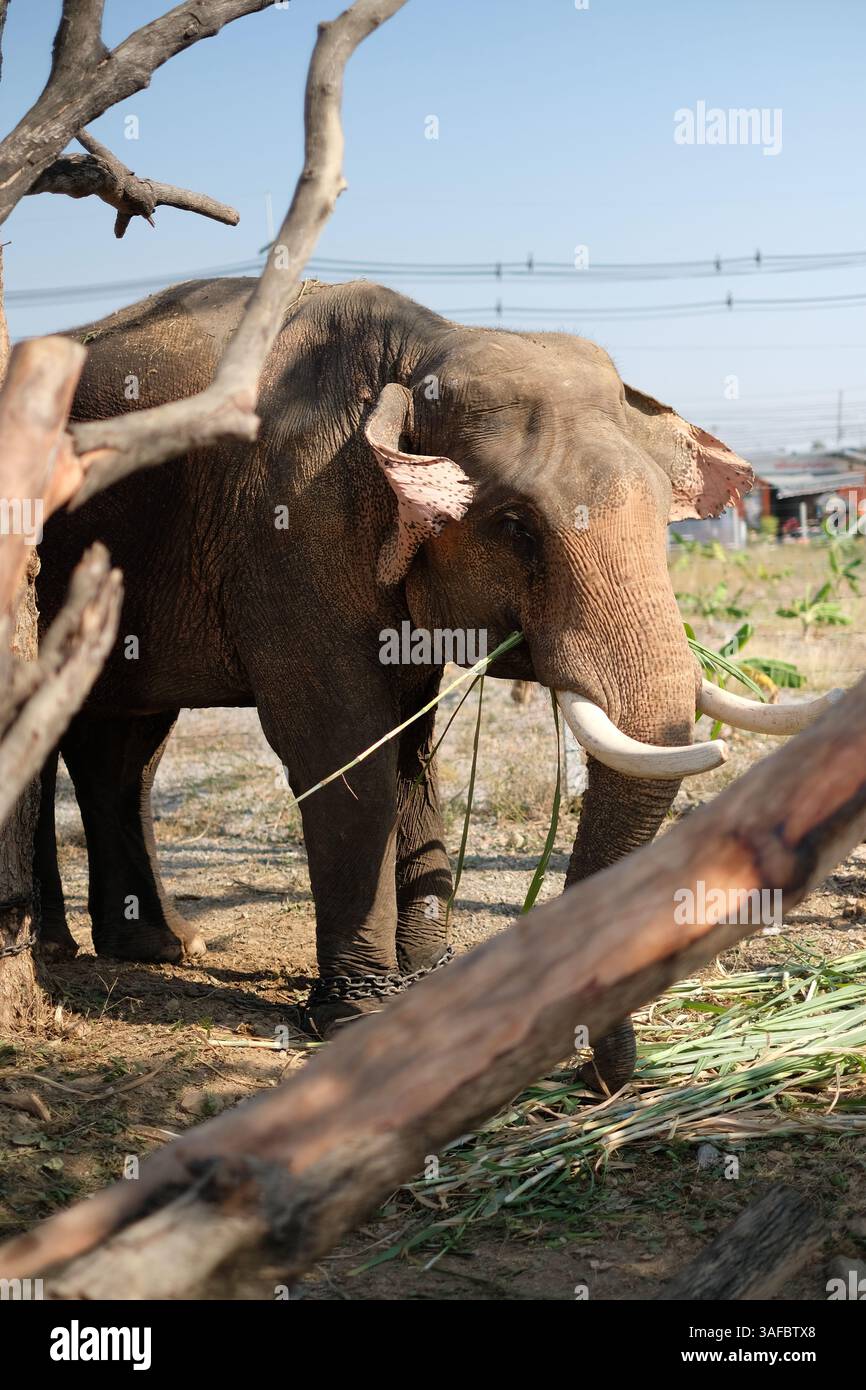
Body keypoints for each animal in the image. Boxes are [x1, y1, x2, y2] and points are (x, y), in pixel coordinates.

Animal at [34, 274, 761, 1089]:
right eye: (517, 526)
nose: (599, 1078)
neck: (420, 351)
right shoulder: (287, 526)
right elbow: (344, 752)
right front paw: (355, 1012)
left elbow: (410, 747)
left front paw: (426, 977)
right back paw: (54, 949)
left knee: (126, 749)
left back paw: (163, 948)